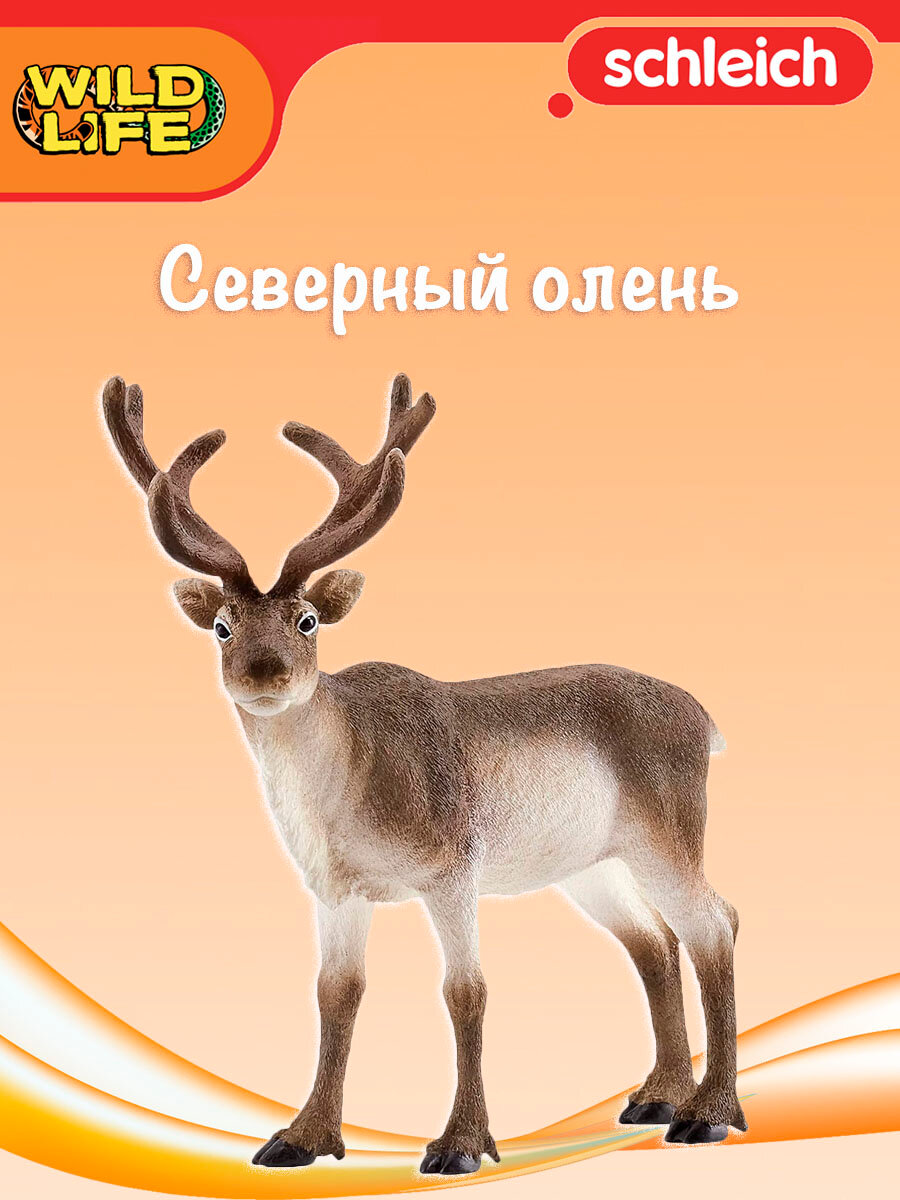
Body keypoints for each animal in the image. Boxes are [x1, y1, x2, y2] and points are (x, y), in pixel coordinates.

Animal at [101, 372, 747, 1175]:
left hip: (667, 833)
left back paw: (708, 1113)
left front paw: (461, 1142)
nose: (264, 672)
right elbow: (336, 995)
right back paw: (657, 1097)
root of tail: (706, 720)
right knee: (654, 942)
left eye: (308, 620)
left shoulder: (451, 869)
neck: (342, 800)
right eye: (223, 627)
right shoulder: (335, 889)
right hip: (589, 864)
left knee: (714, 923)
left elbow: (465, 992)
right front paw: (301, 1136)